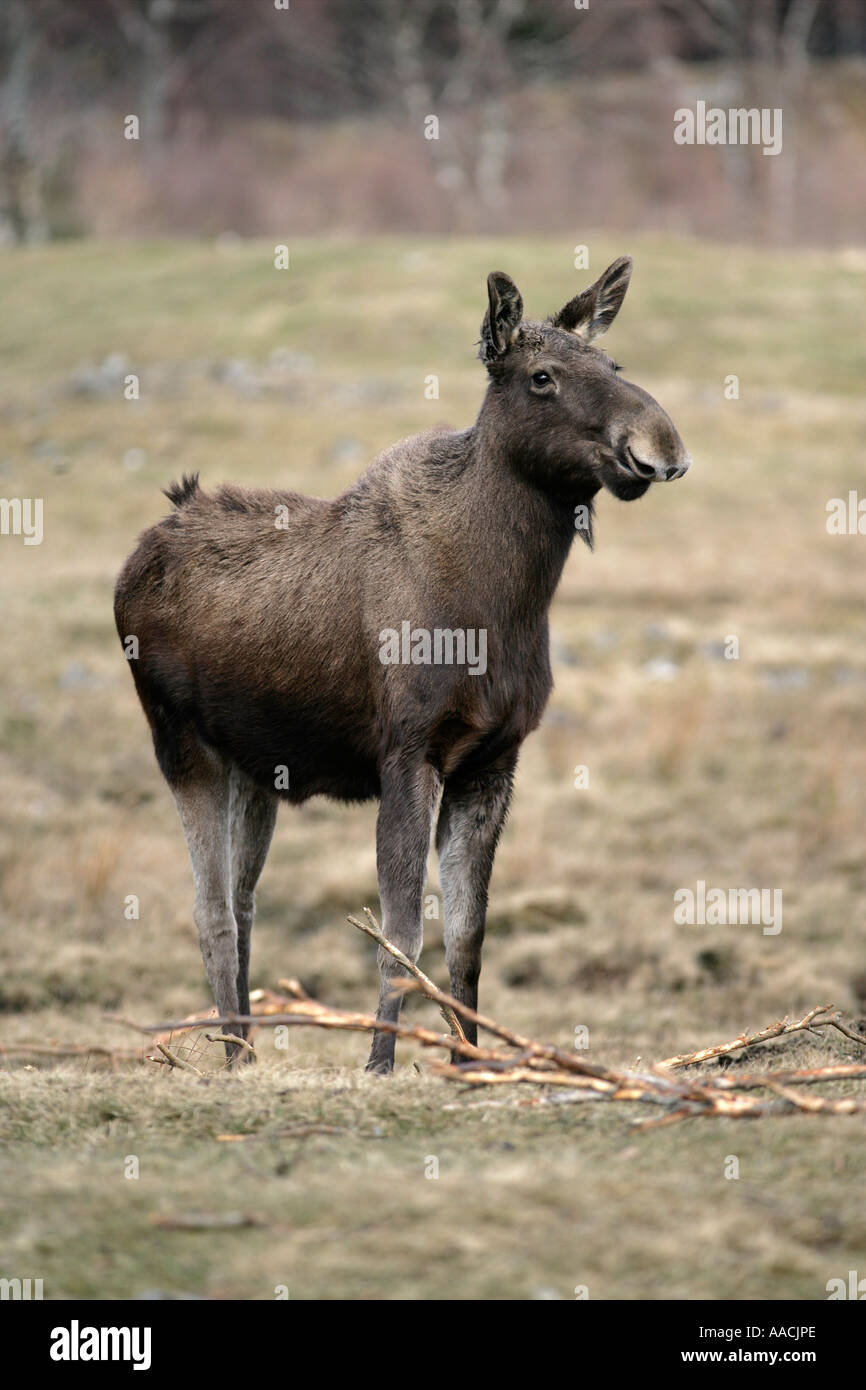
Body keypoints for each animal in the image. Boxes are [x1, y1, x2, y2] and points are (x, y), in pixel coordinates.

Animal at [114, 256, 691, 1072]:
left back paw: (246, 1046)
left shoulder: (492, 760)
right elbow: (401, 932)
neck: (504, 602)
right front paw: (381, 1061)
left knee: (245, 900)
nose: (658, 446)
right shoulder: (406, 752)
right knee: (210, 907)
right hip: (182, 744)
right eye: (541, 377)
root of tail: (137, 557)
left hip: (255, 768)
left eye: (613, 365)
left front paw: (469, 1061)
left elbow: (468, 936)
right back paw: (235, 1057)